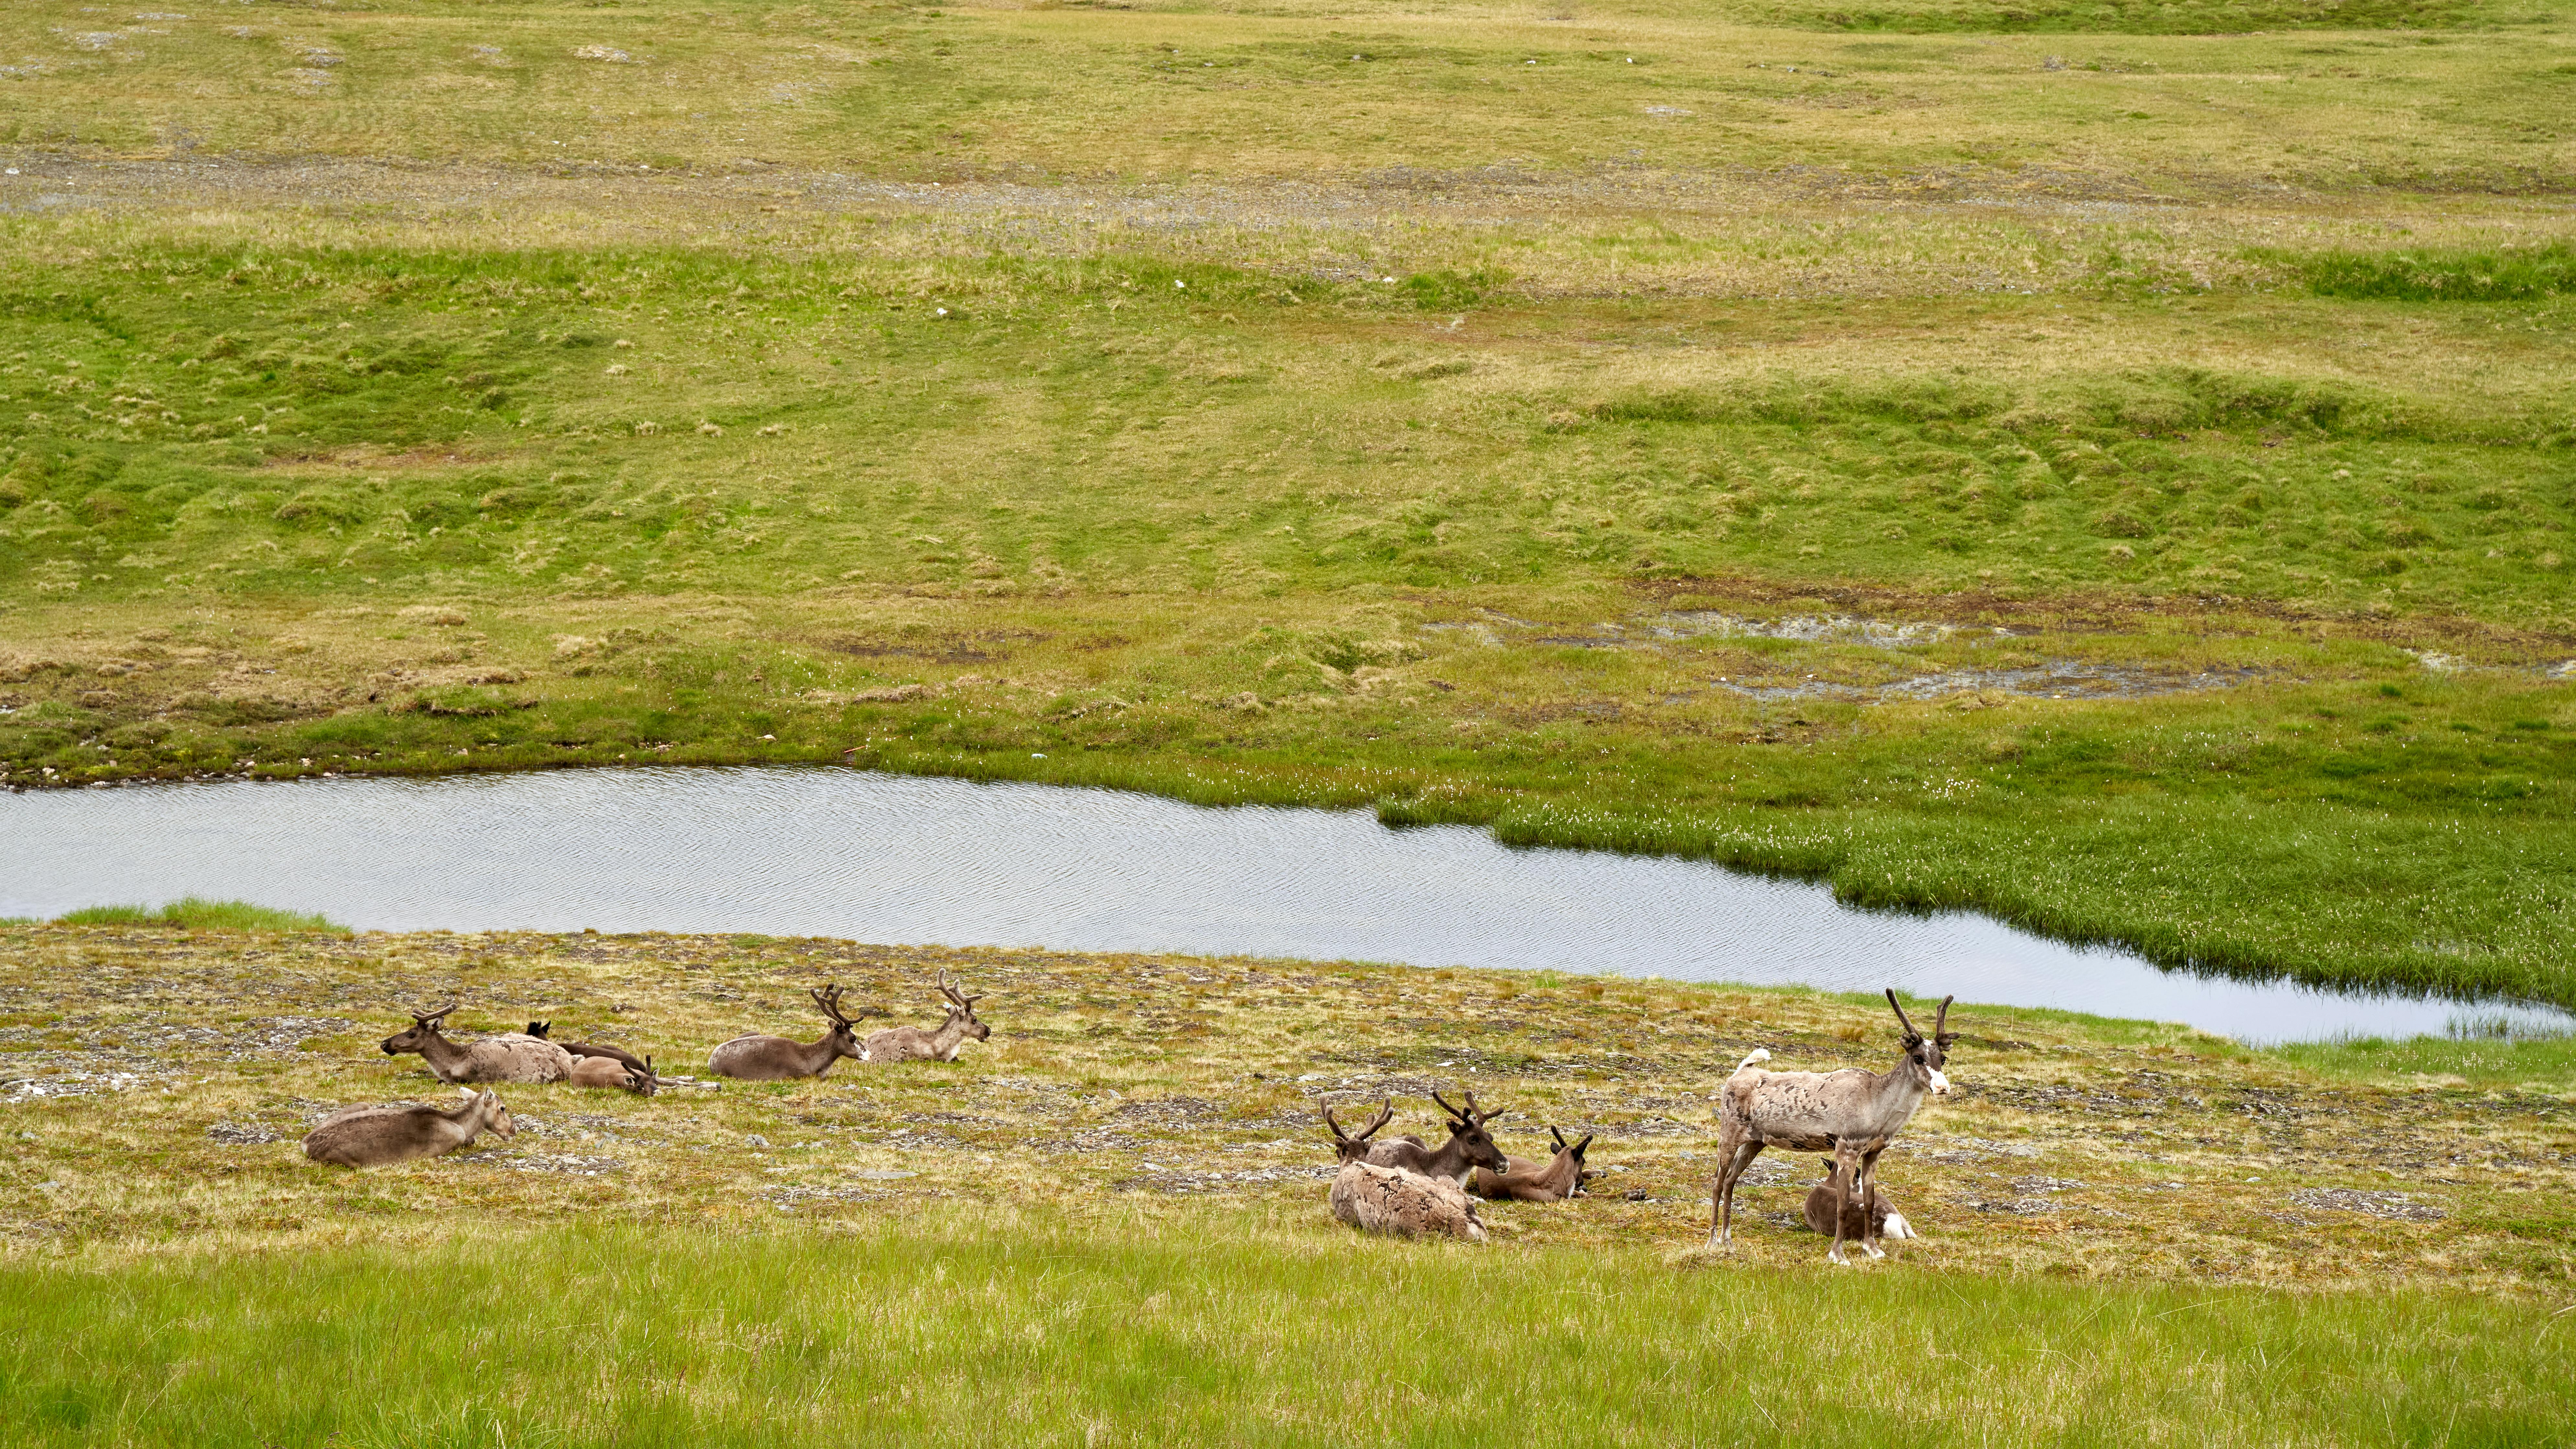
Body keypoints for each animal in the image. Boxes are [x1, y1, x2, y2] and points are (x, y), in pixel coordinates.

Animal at [303, 1087, 515, 1167]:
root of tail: (306, 1144)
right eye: (502, 1108)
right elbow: (470, 1141)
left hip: (362, 1104)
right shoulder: (441, 1148)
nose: (514, 1129)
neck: (462, 1124)